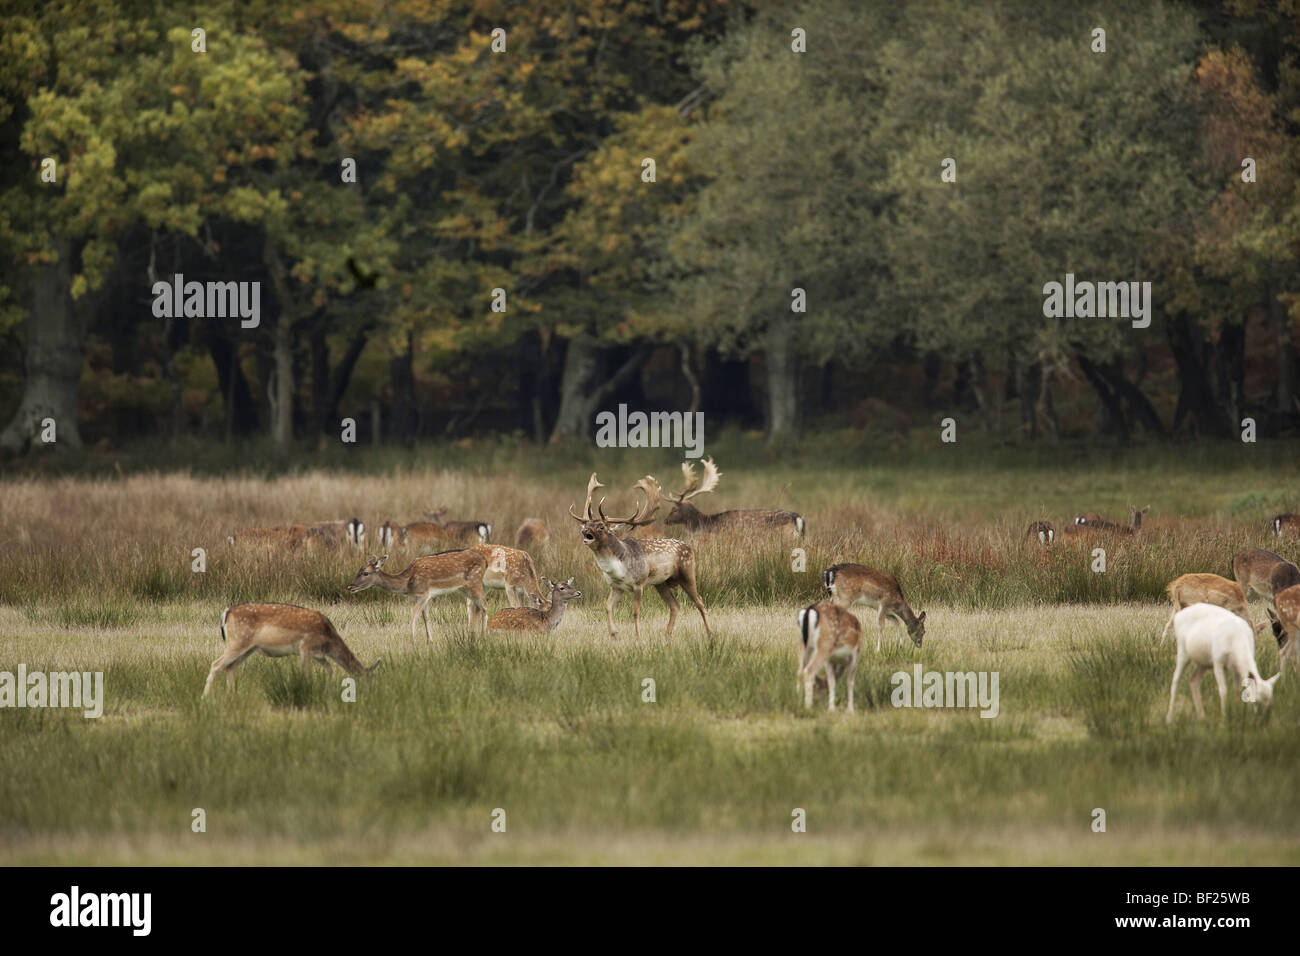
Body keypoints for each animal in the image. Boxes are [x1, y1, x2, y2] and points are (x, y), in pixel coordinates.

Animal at [202, 603, 381, 698]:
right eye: (370, 681)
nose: (373, 696)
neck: (329, 639)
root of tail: (227, 613)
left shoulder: (319, 654)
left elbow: (329, 669)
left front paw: (326, 690)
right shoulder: (305, 647)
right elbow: (307, 672)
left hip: (248, 648)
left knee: (230, 666)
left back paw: (231, 695)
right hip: (237, 641)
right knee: (216, 664)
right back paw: (205, 697)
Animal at [347, 550, 488, 646]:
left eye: (365, 573)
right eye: (357, 571)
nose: (350, 587)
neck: (407, 583)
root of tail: (485, 561)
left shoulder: (423, 593)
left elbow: (414, 614)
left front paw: (412, 641)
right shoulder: (423, 596)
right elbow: (426, 617)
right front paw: (430, 641)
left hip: (475, 582)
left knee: (485, 605)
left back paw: (483, 637)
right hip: (466, 589)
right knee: (477, 607)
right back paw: (473, 636)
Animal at [569, 472, 711, 639]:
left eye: (601, 526)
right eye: (587, 524)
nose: (584, 531)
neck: (620, 568)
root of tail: (691, 548)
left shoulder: (639, 583)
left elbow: (635, 611)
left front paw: (637, 636)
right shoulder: (616, 586)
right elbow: (607, 606)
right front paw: (614, 634)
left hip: (687, 573)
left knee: (699, 601)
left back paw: (710, 633)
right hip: (661, 583)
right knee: (675, 605)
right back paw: (667, 634)